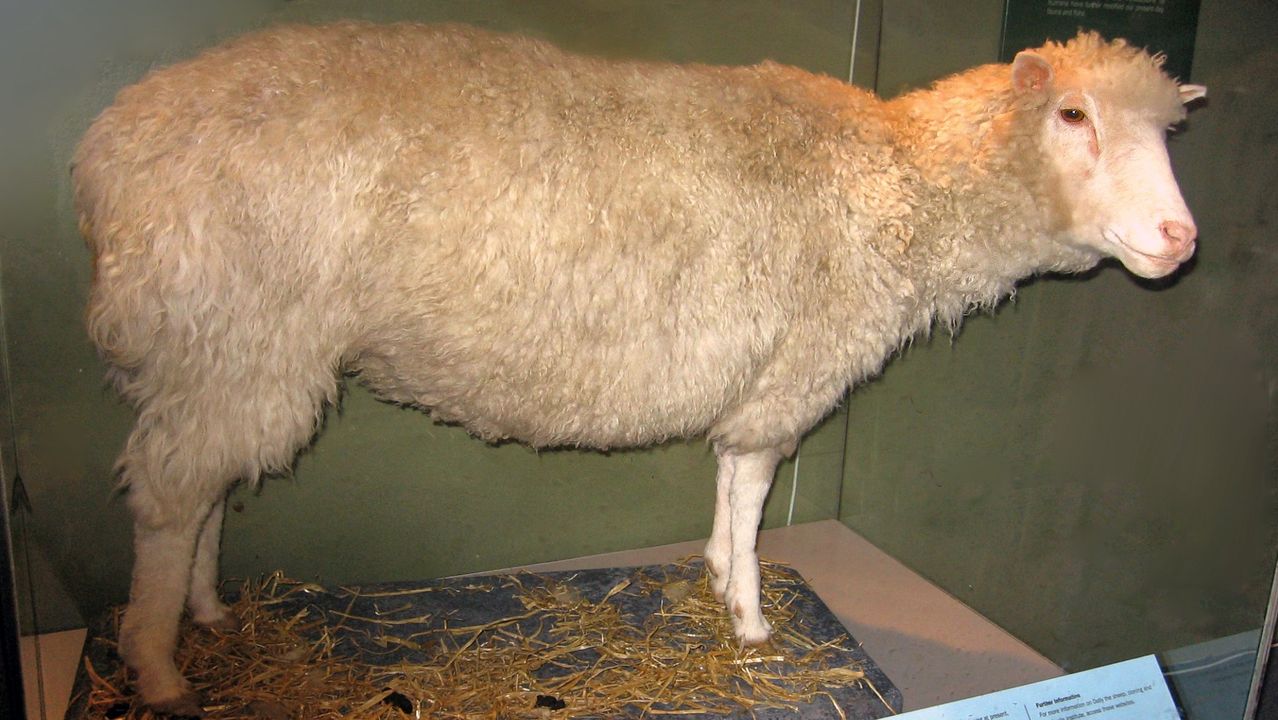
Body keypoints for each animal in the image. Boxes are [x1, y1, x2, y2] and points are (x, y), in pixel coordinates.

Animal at [72, 22, 1205, 714]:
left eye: (1168, 132)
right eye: (1072, 117)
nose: (1180, 239)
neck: (893, 188)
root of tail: (109, 147)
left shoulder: (758, 374)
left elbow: (730, 488)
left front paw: (715, 579)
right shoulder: (791, 370)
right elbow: (752, 493)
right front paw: (750, 620)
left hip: (225, 349)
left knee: (205, 489)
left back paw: (209, 615)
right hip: (233, 324)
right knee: (169, 499)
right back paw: (160, 666)